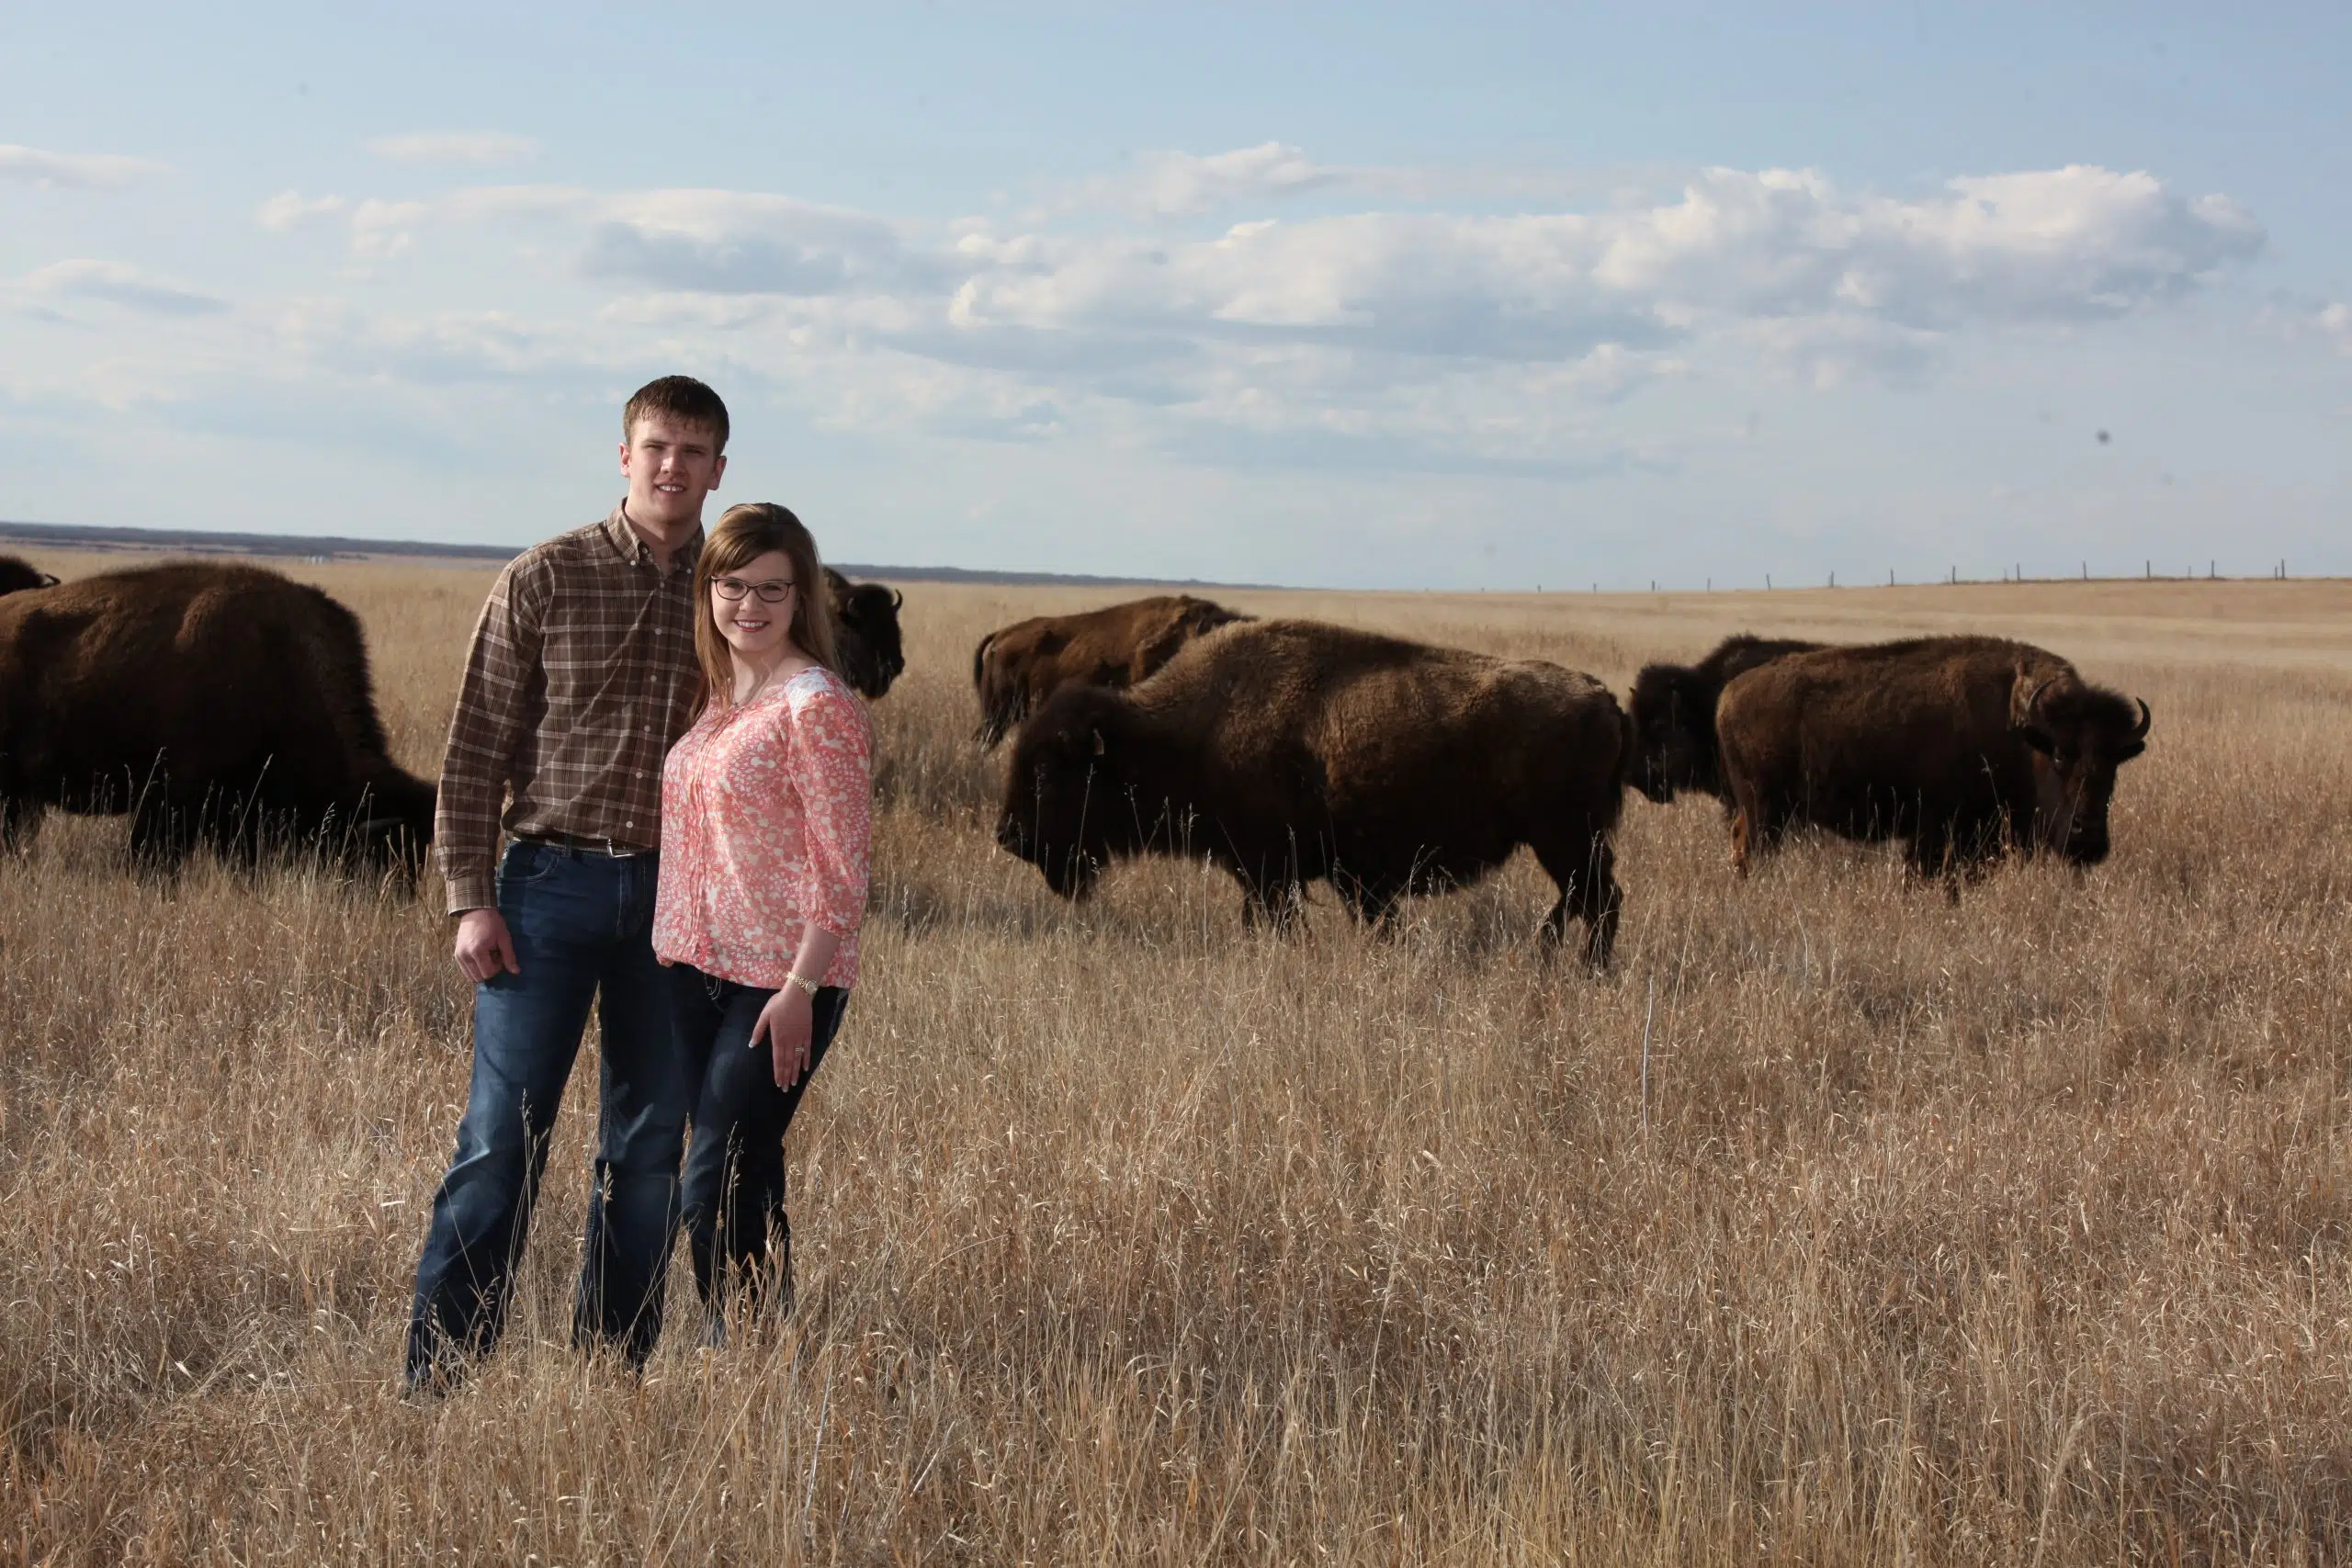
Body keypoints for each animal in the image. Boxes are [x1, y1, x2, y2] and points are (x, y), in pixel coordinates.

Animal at [995, 618, 1630, 966]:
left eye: (1048, 774)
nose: (1009, 836)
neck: (1186, 731)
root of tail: (1601, 698)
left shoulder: (1272, 871)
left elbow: (1282, 921)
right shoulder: (1308, 876)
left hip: (1564, 840)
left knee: (1600, 900)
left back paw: (1585, 971)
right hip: (1569, 844)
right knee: (1590, 900)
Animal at [1714, 635, 2151, 883]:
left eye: (2115, 762)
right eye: (2060, 755)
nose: (2086, 838)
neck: (2023, 730)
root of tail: (1728, 696)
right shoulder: (1940, 830)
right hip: (1766, 811)